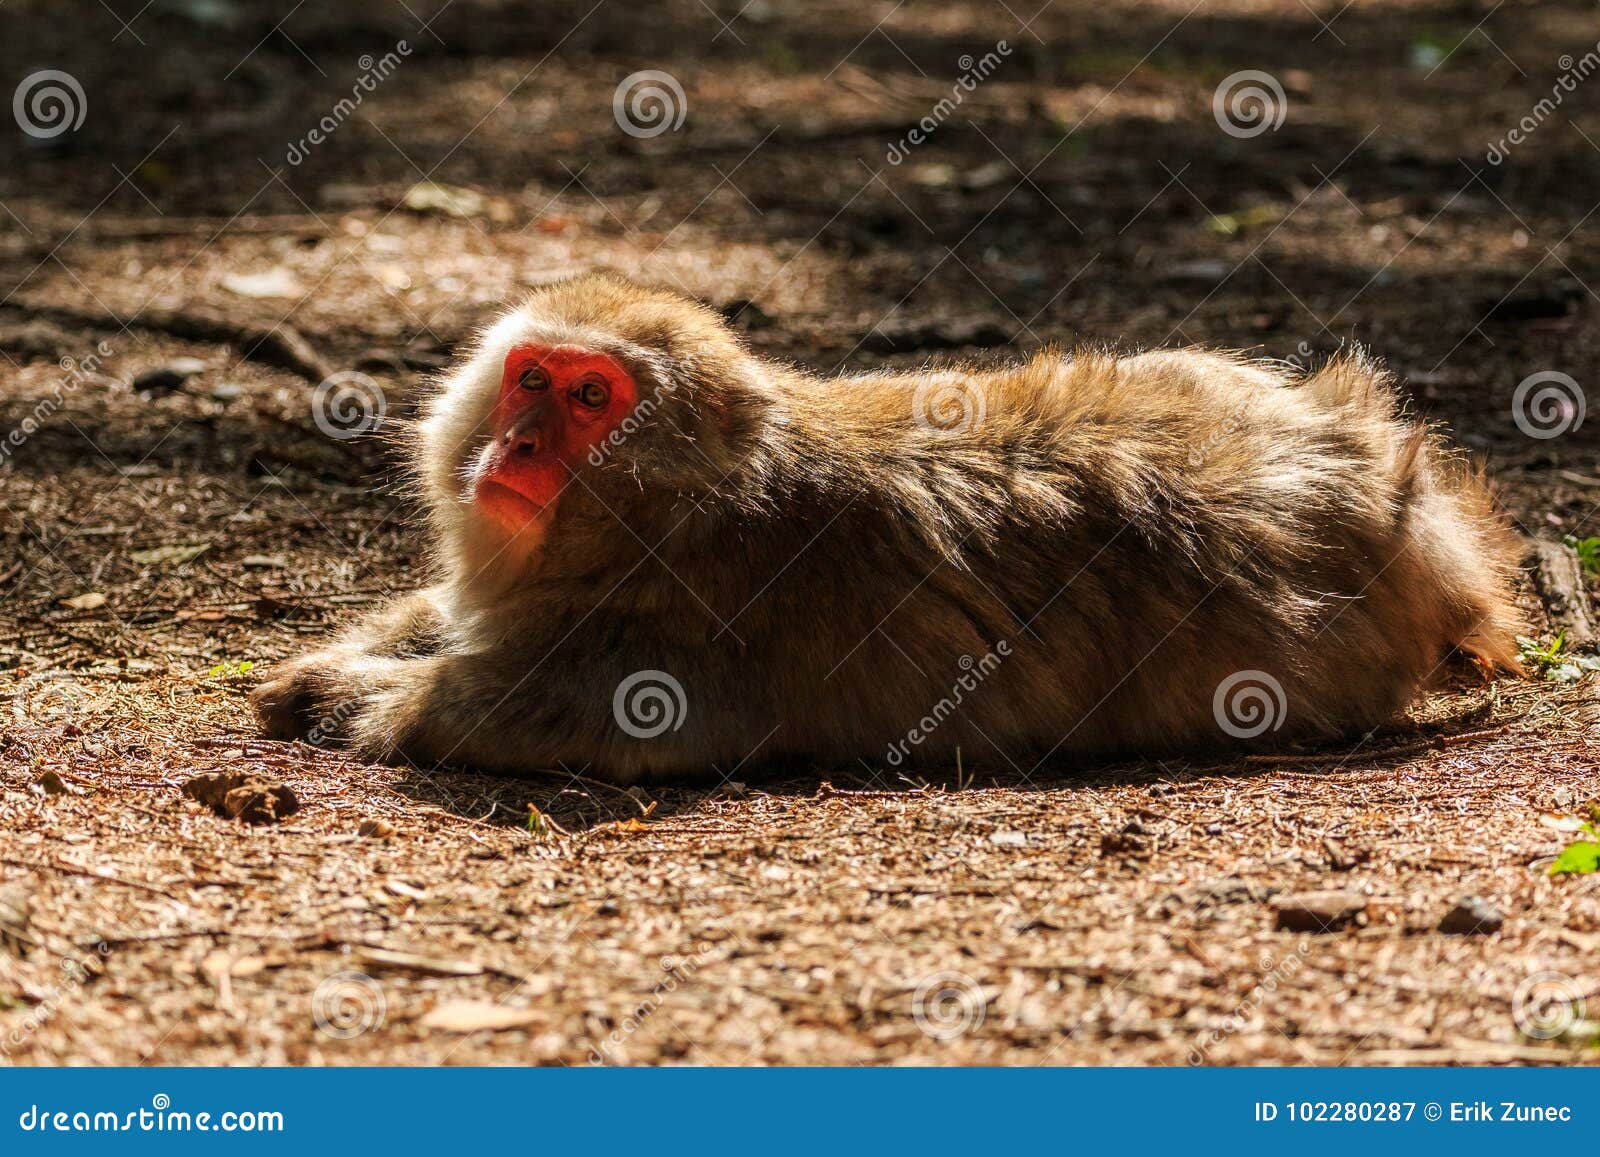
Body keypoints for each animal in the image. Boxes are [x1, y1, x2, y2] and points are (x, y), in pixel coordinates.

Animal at [251, 273, 1524, 783]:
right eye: (528, 378)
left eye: (591, 397)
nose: (514, 448)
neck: (685, 513)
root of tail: (1390, 482)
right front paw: (328, 665)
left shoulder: (701, 640)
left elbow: (550, 712)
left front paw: (360, 701)